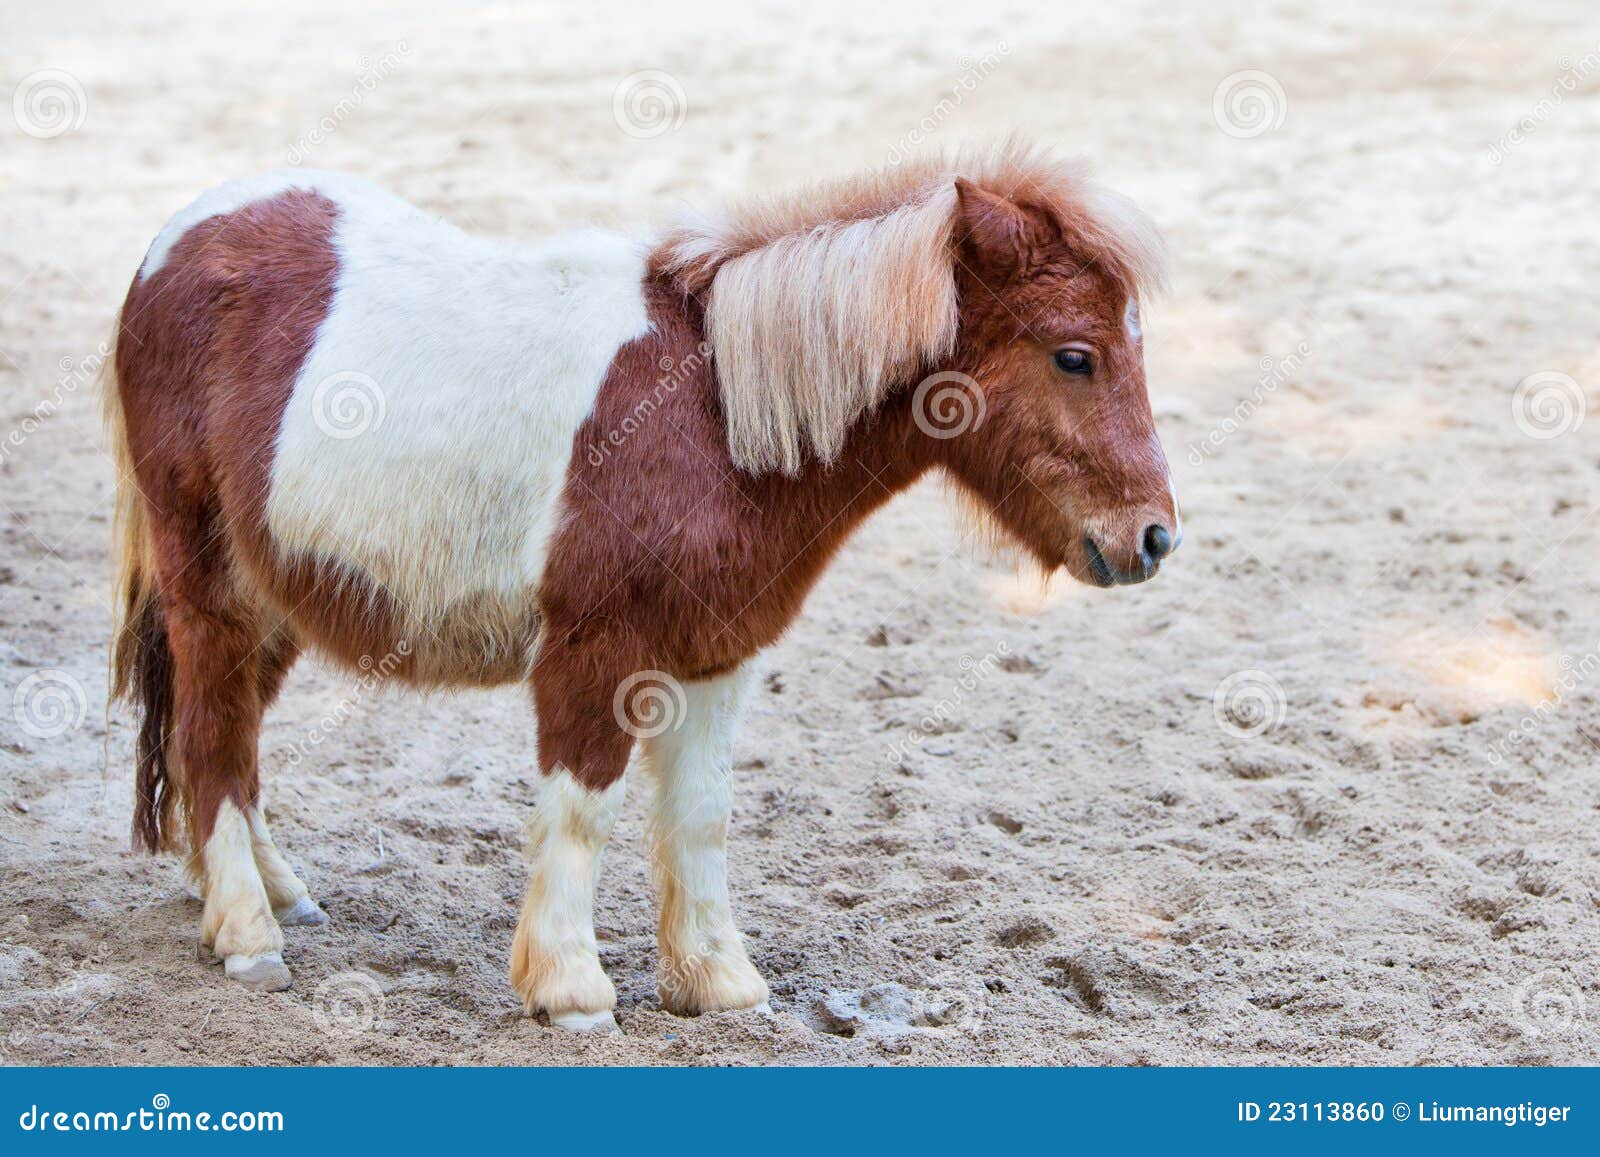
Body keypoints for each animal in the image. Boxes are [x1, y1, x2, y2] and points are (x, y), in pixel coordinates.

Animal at [103, 140, 1179, 1032]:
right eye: (1074, 355)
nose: (1152, 536)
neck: (714, 416)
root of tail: (173, 244)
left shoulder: (716, 656)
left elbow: (699, 814)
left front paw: (717, 982)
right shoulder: (593, 653)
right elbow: (583, 809)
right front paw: (570, 988)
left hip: (272, 594)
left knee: (234, 738)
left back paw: (265, 890)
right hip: (206, 586)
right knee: (208, 732)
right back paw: (247, 931)